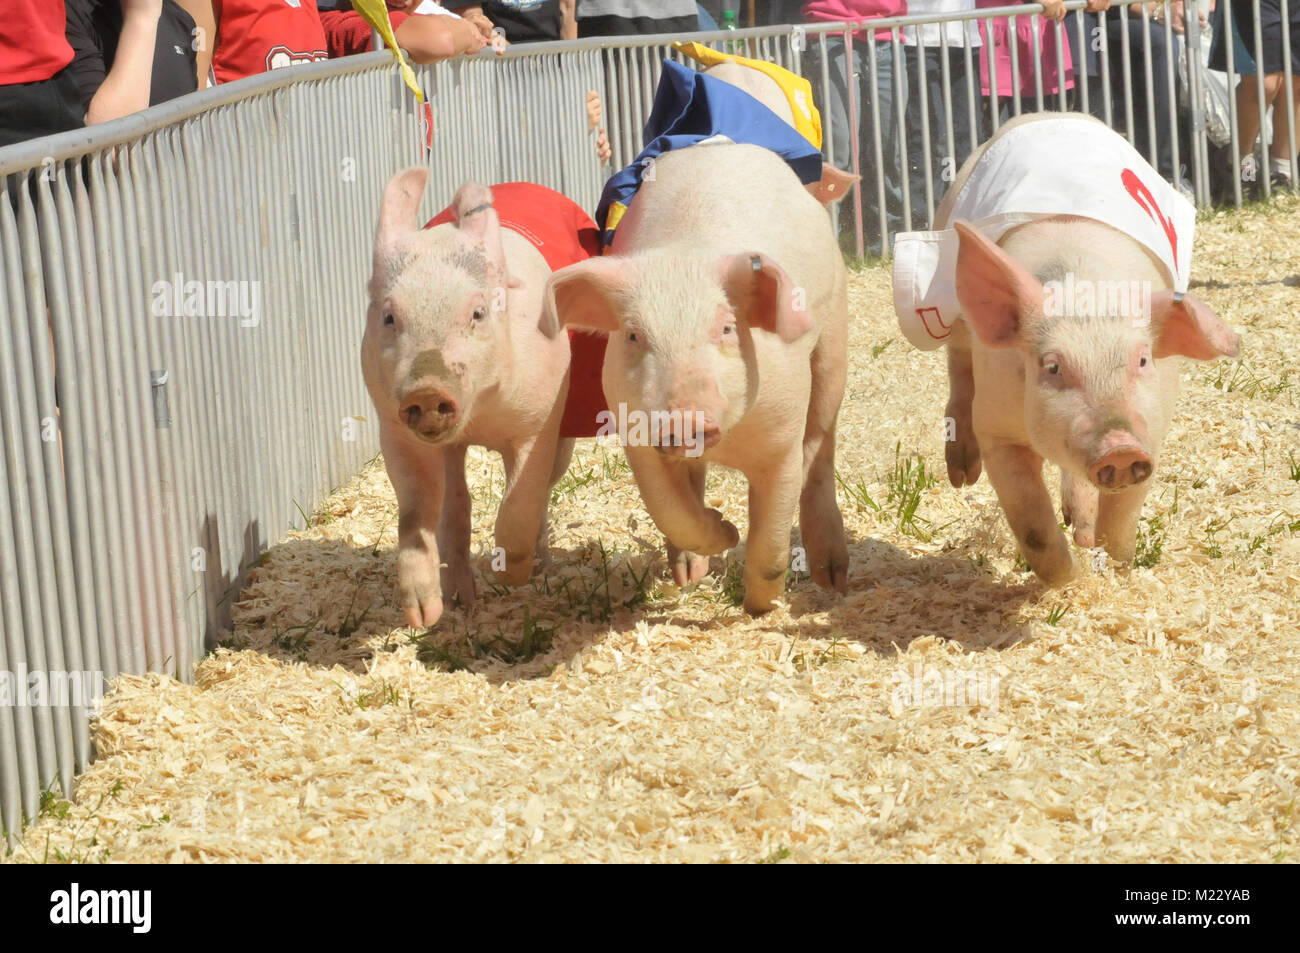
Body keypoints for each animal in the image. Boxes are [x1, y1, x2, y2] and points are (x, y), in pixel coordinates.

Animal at [362, 168, 576, 628]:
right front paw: (424, 616)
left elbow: (519, 503)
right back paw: (463, 599)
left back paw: (543, 567)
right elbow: (416, 512)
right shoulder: (394, 427)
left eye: (477, 313)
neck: (481, 417)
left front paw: (511, 577)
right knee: (456, 504)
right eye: (389, 316)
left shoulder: (539, 420)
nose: (428, 390)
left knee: (544, 490)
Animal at [543, 141, 850, 614]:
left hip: (833, 336)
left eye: (726, 328)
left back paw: (834, 578)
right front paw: (724, 533)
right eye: (633, 334)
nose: (683, 419)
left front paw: (760, 608)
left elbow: (773, 535)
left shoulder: (781, 433)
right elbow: (670, 508)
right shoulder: (636, 436)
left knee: (820, 445)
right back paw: (690, 571)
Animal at [935, 114, 1240, 582]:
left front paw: (1115, 570)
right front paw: (1067, 579)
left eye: (1142, 360)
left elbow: (1122, 520)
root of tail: (1049, 113)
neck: (1085, 288)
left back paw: (1080, 527)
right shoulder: (997, 425)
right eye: (1053, 367)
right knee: (959, 370)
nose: (1120, 447)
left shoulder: (1152, 427)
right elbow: (1029, 519)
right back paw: (962, 476)